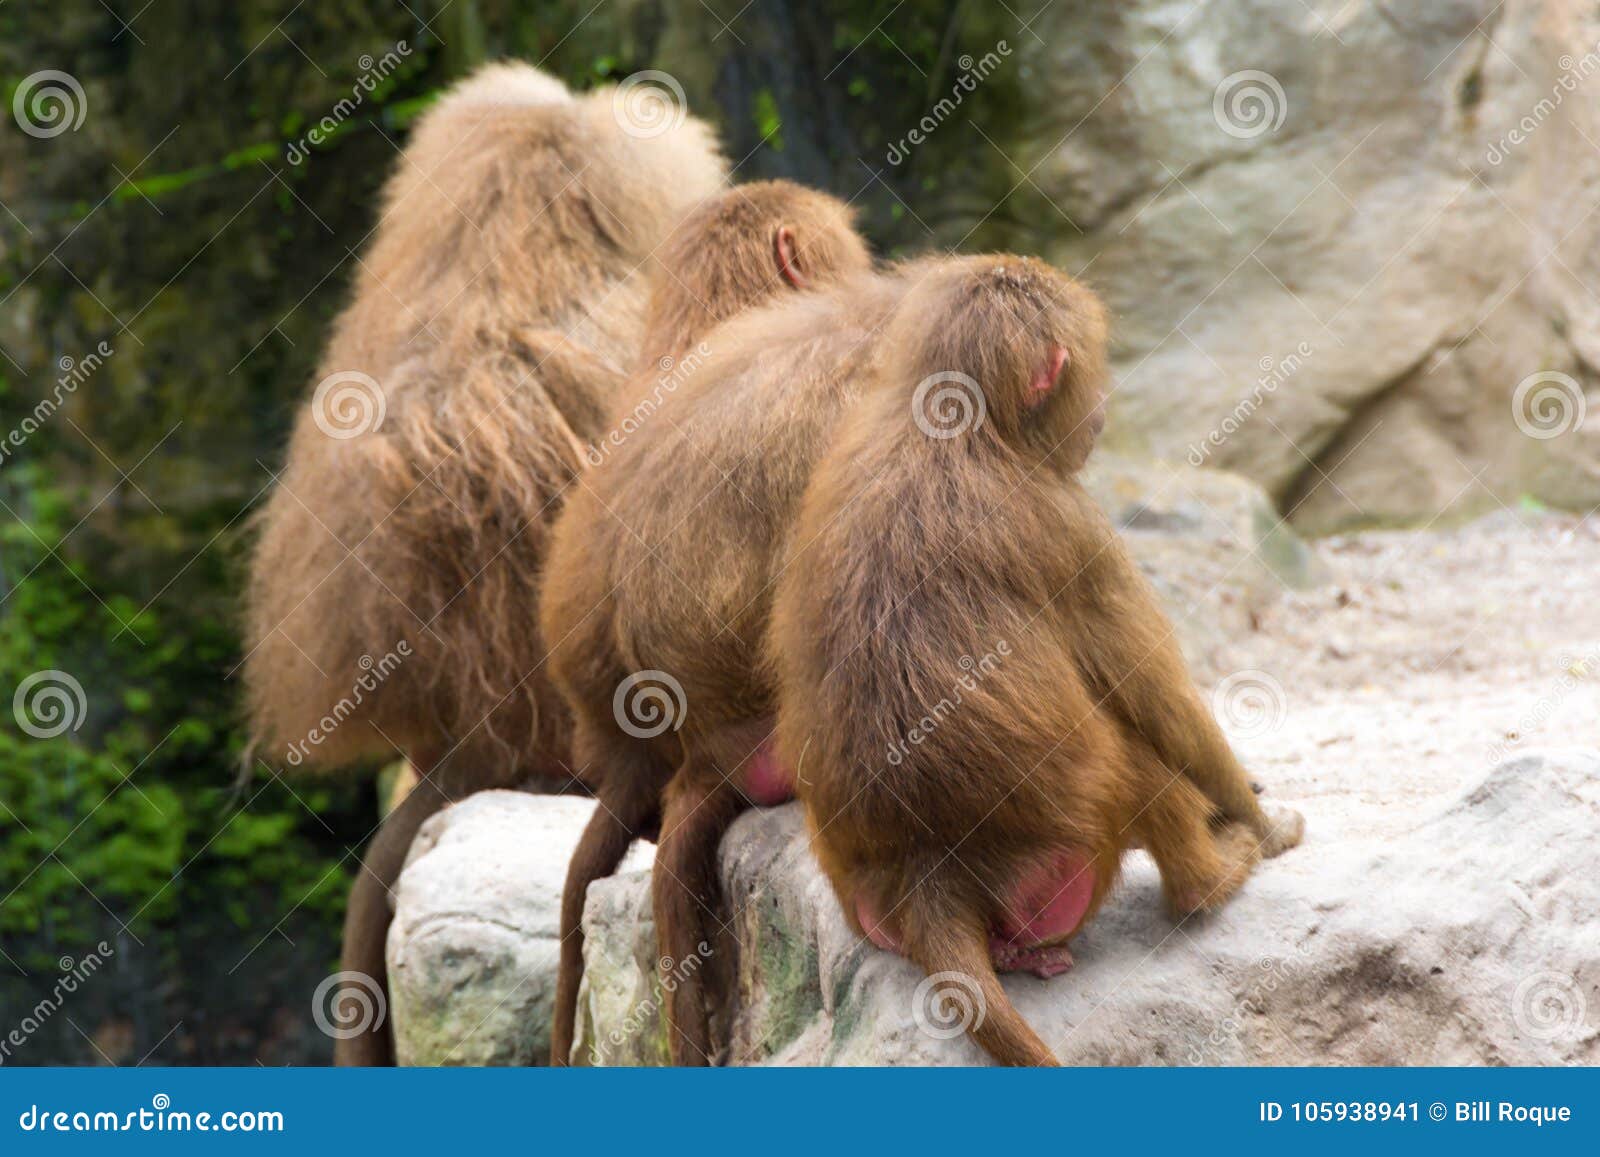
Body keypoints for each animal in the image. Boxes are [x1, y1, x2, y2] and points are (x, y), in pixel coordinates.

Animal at [767, 256, 1306, 1066]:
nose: (1103, 410)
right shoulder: (1072, 522)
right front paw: (1261, 822)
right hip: (1071, 843)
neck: (950, 426)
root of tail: (924, 873)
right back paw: (1214, 875)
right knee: (1140, 769)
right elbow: (1162, 701)